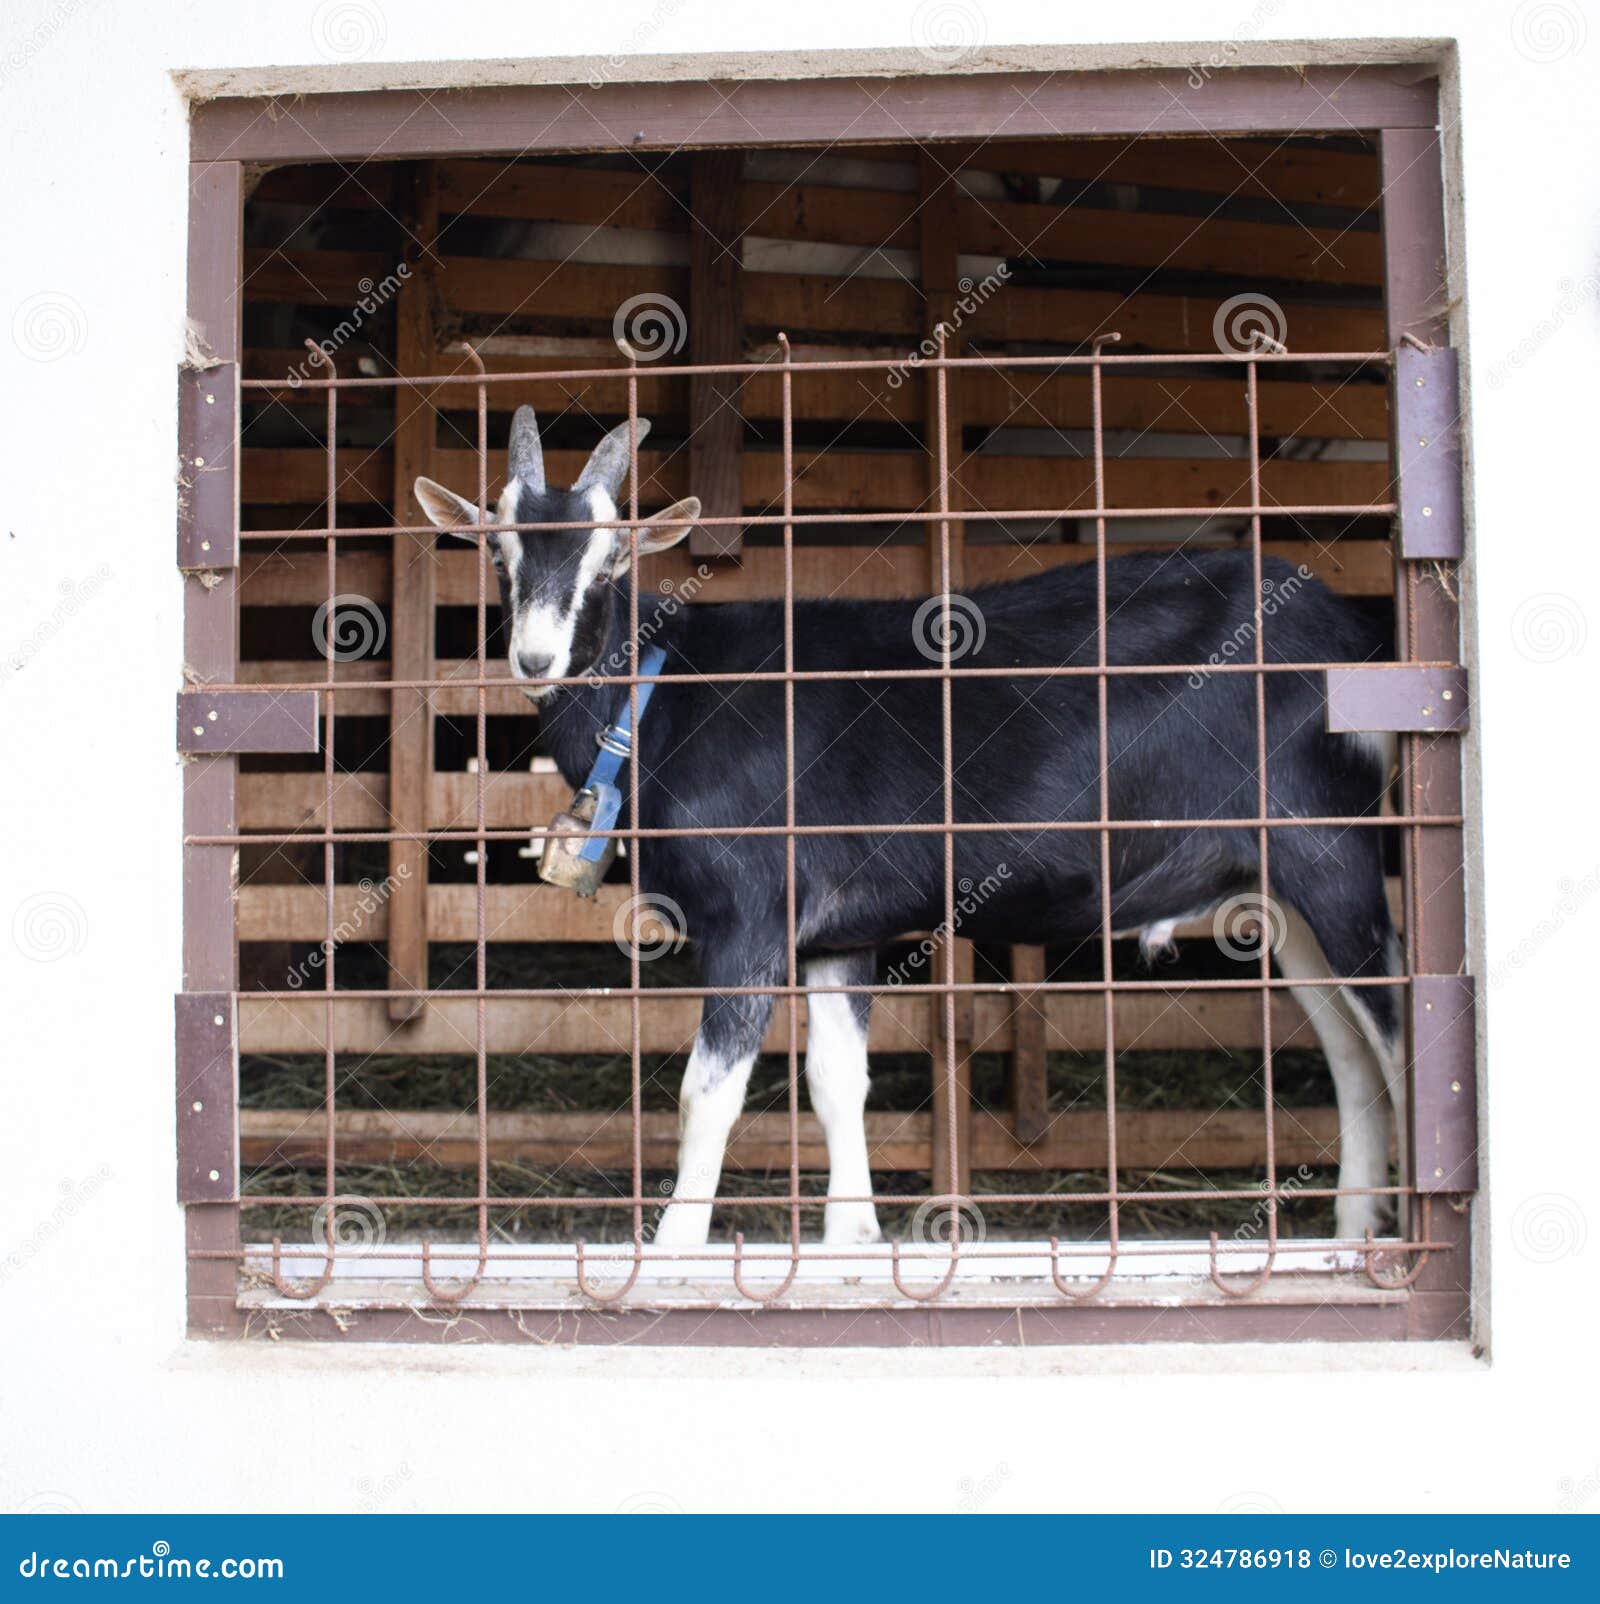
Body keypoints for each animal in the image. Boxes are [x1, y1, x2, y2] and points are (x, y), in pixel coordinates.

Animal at [415, 407, 1405, 1250]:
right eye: (498, 553)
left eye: (608, 562)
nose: (535, 658)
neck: (662, 695)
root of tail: (1349, 635)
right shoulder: (837, 934)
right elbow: (836, 1081)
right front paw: (853, 1238)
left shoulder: (749, 913)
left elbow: (708, 1092)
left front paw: (671, 1255)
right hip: (1277, 892)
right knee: (1350, 1050)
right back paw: (1355, 1229)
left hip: (1328, 847)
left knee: (1394, 1020)